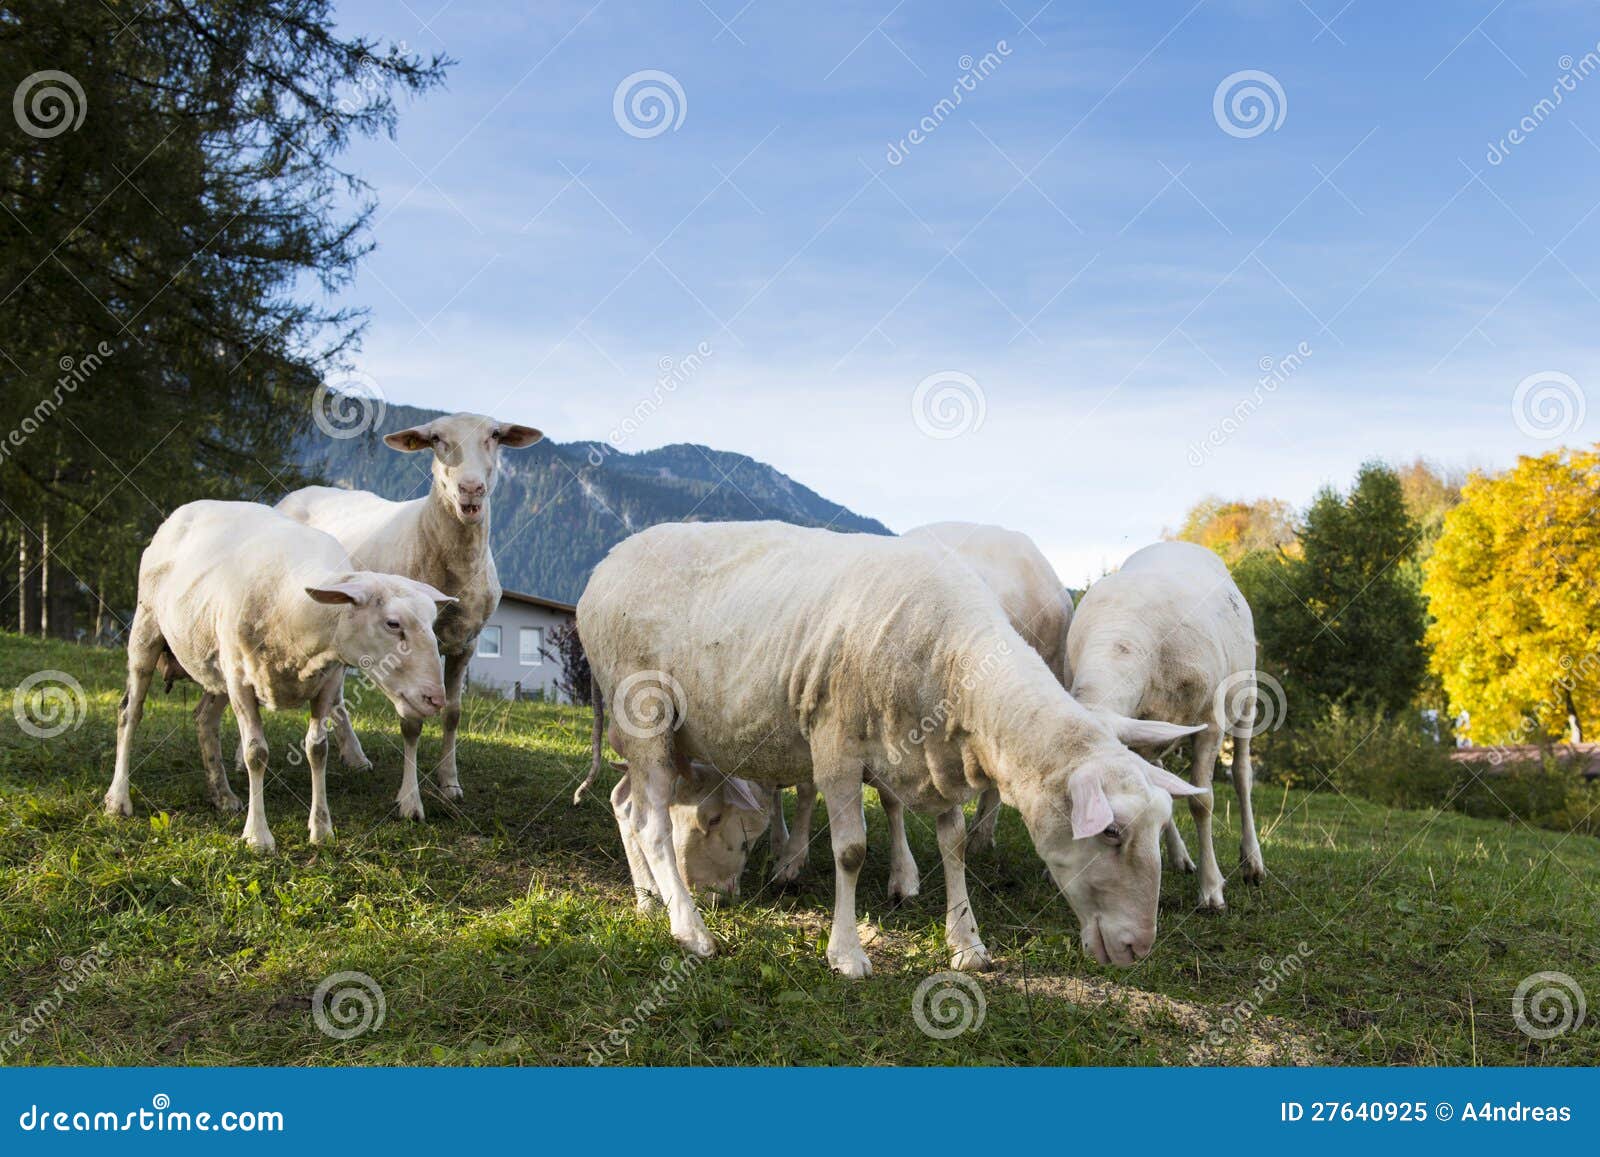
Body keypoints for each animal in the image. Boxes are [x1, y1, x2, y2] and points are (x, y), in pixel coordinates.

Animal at [103, 501, 453, 853]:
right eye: (393, 624)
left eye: (432, 623)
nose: (436, 698)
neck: (297, 617)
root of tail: (181, 513)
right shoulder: (241, 683)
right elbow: (256, 753)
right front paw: (258, 836)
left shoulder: (326, 682)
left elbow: (317, 750)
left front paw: (321, 830)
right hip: (147, 631)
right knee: (130, 712)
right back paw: (118, 799)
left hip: (216, 664)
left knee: (204, 719)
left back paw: (223, 795)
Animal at [276, 412, 541, 821]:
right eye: (436, 439)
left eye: (495, 435)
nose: (471, 488)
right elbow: (412, 723)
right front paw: (409, 799)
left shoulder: (467, 643)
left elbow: (453, 713)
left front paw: (449, 782)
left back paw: (354, 757)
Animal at [577, 520, 1203, 977]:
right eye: (1111, 832)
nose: (1138, 948)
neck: (956, 660)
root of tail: (603, 567)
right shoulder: (835, 744)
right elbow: (851, 851)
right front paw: (847, 954)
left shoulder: (938, 753)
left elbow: (953, 844)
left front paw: (966, 944)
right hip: (646, 718)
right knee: (652, 821)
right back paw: (690, 930)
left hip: (672, 738)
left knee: (628, 805)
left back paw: (649, 902)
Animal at [1066, 540, 1264, 911]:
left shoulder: (1210, 721)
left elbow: (1202, 802)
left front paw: (1211, 889)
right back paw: (1179, 856)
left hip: (1246, 694)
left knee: (1243, 775)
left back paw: (1252, 862)